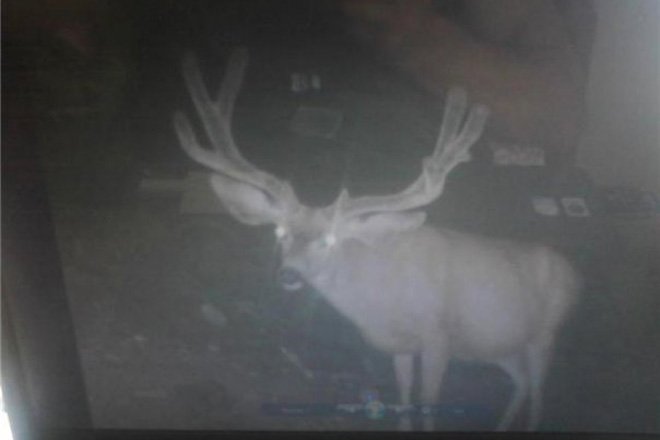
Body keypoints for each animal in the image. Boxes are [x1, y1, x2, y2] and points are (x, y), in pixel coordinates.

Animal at [174, 47, 580, 431]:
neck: (380, 301)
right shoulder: (400, 346)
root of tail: (575, 271)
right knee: (522, 383)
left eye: (330, 241)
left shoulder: (438, 336)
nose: (289, 274)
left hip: (545, 334)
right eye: (280, 233)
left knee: (539, 393)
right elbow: (404, 396)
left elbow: (429, 400)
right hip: (503, 346)